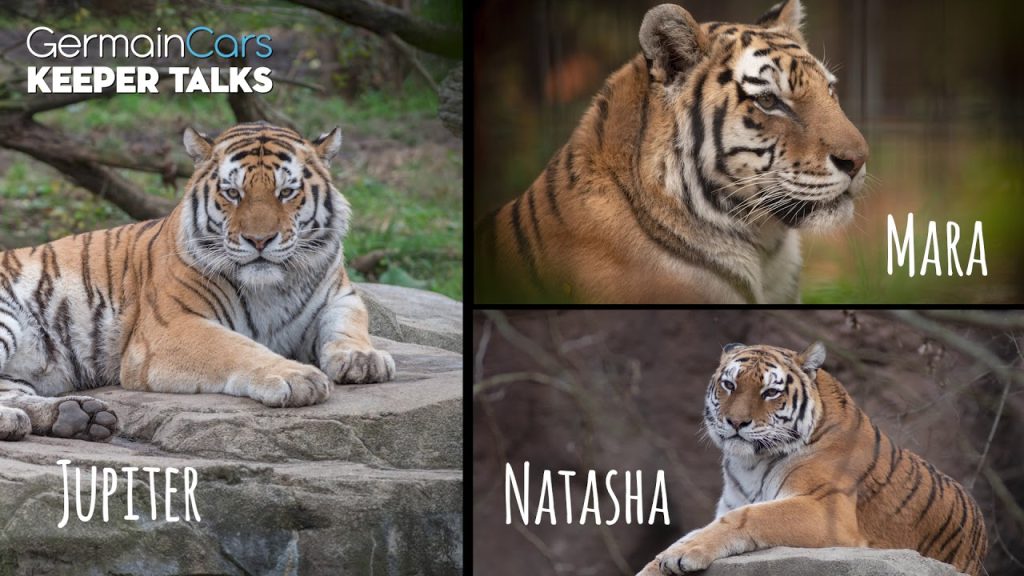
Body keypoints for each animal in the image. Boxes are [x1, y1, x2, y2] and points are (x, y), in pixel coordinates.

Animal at [0, 122, 395, 442]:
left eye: (286, 192)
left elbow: (349, 325)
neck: (272, 286)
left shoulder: (340, 295)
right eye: (233, 193)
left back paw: (77, 416)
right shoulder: (171, 327)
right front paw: (297, 376)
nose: (260, 240)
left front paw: (364, 360)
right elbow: (237, 347)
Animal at [636, 342, 988, 576]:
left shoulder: (827, 509)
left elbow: (750, 517)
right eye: (729, 384)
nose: (736, 422)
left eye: (770, 392)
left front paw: (685, 553)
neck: (748, 463)